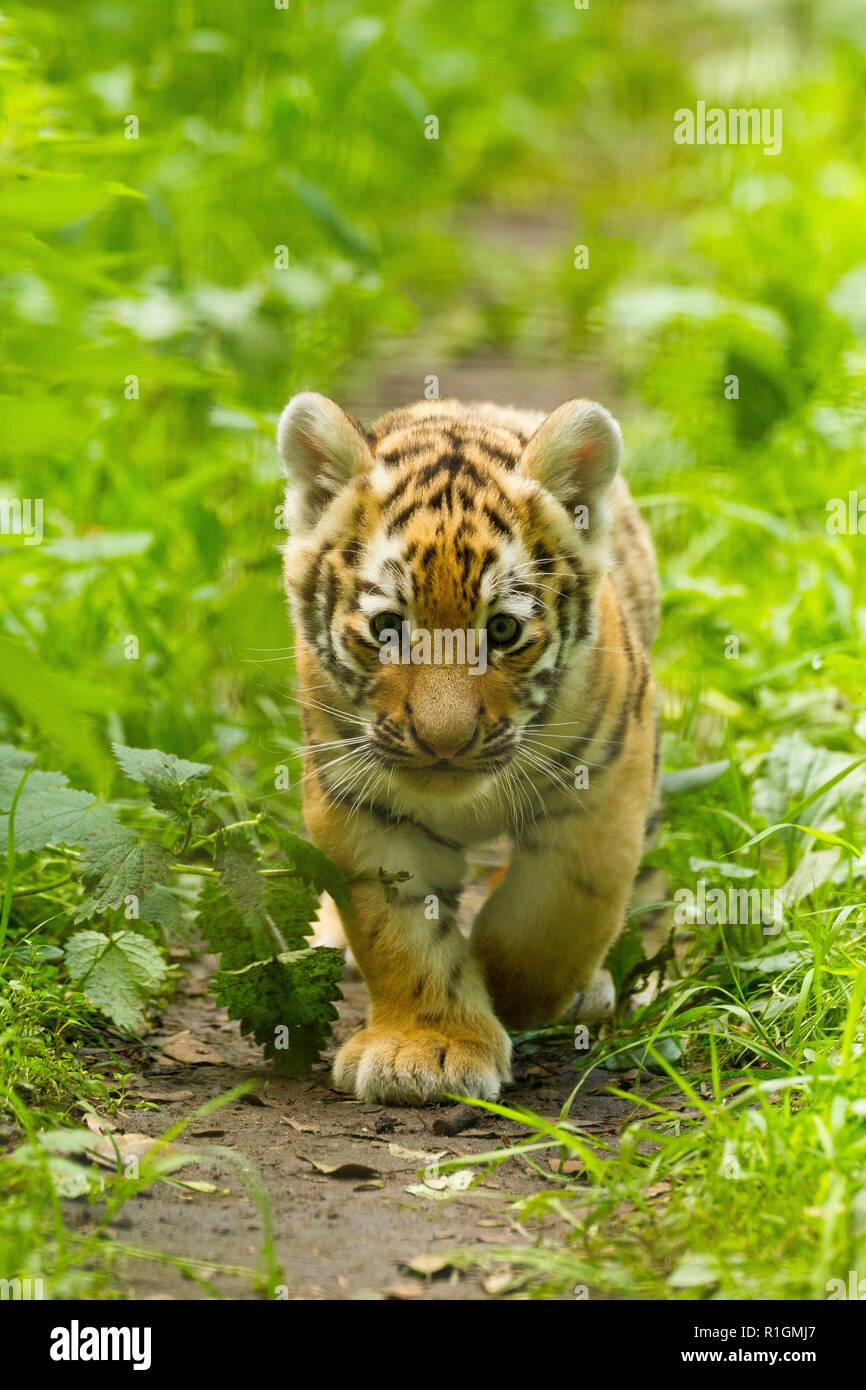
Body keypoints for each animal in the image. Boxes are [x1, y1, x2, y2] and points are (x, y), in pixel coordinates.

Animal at [277, 392, 662, 1105]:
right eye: (387, 627)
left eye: (504, 630)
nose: (444, 741)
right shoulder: (358, 800)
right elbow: (397, 930)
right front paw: (427, 1049)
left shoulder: (606, 778)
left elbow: (557, 916)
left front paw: (511, 993)